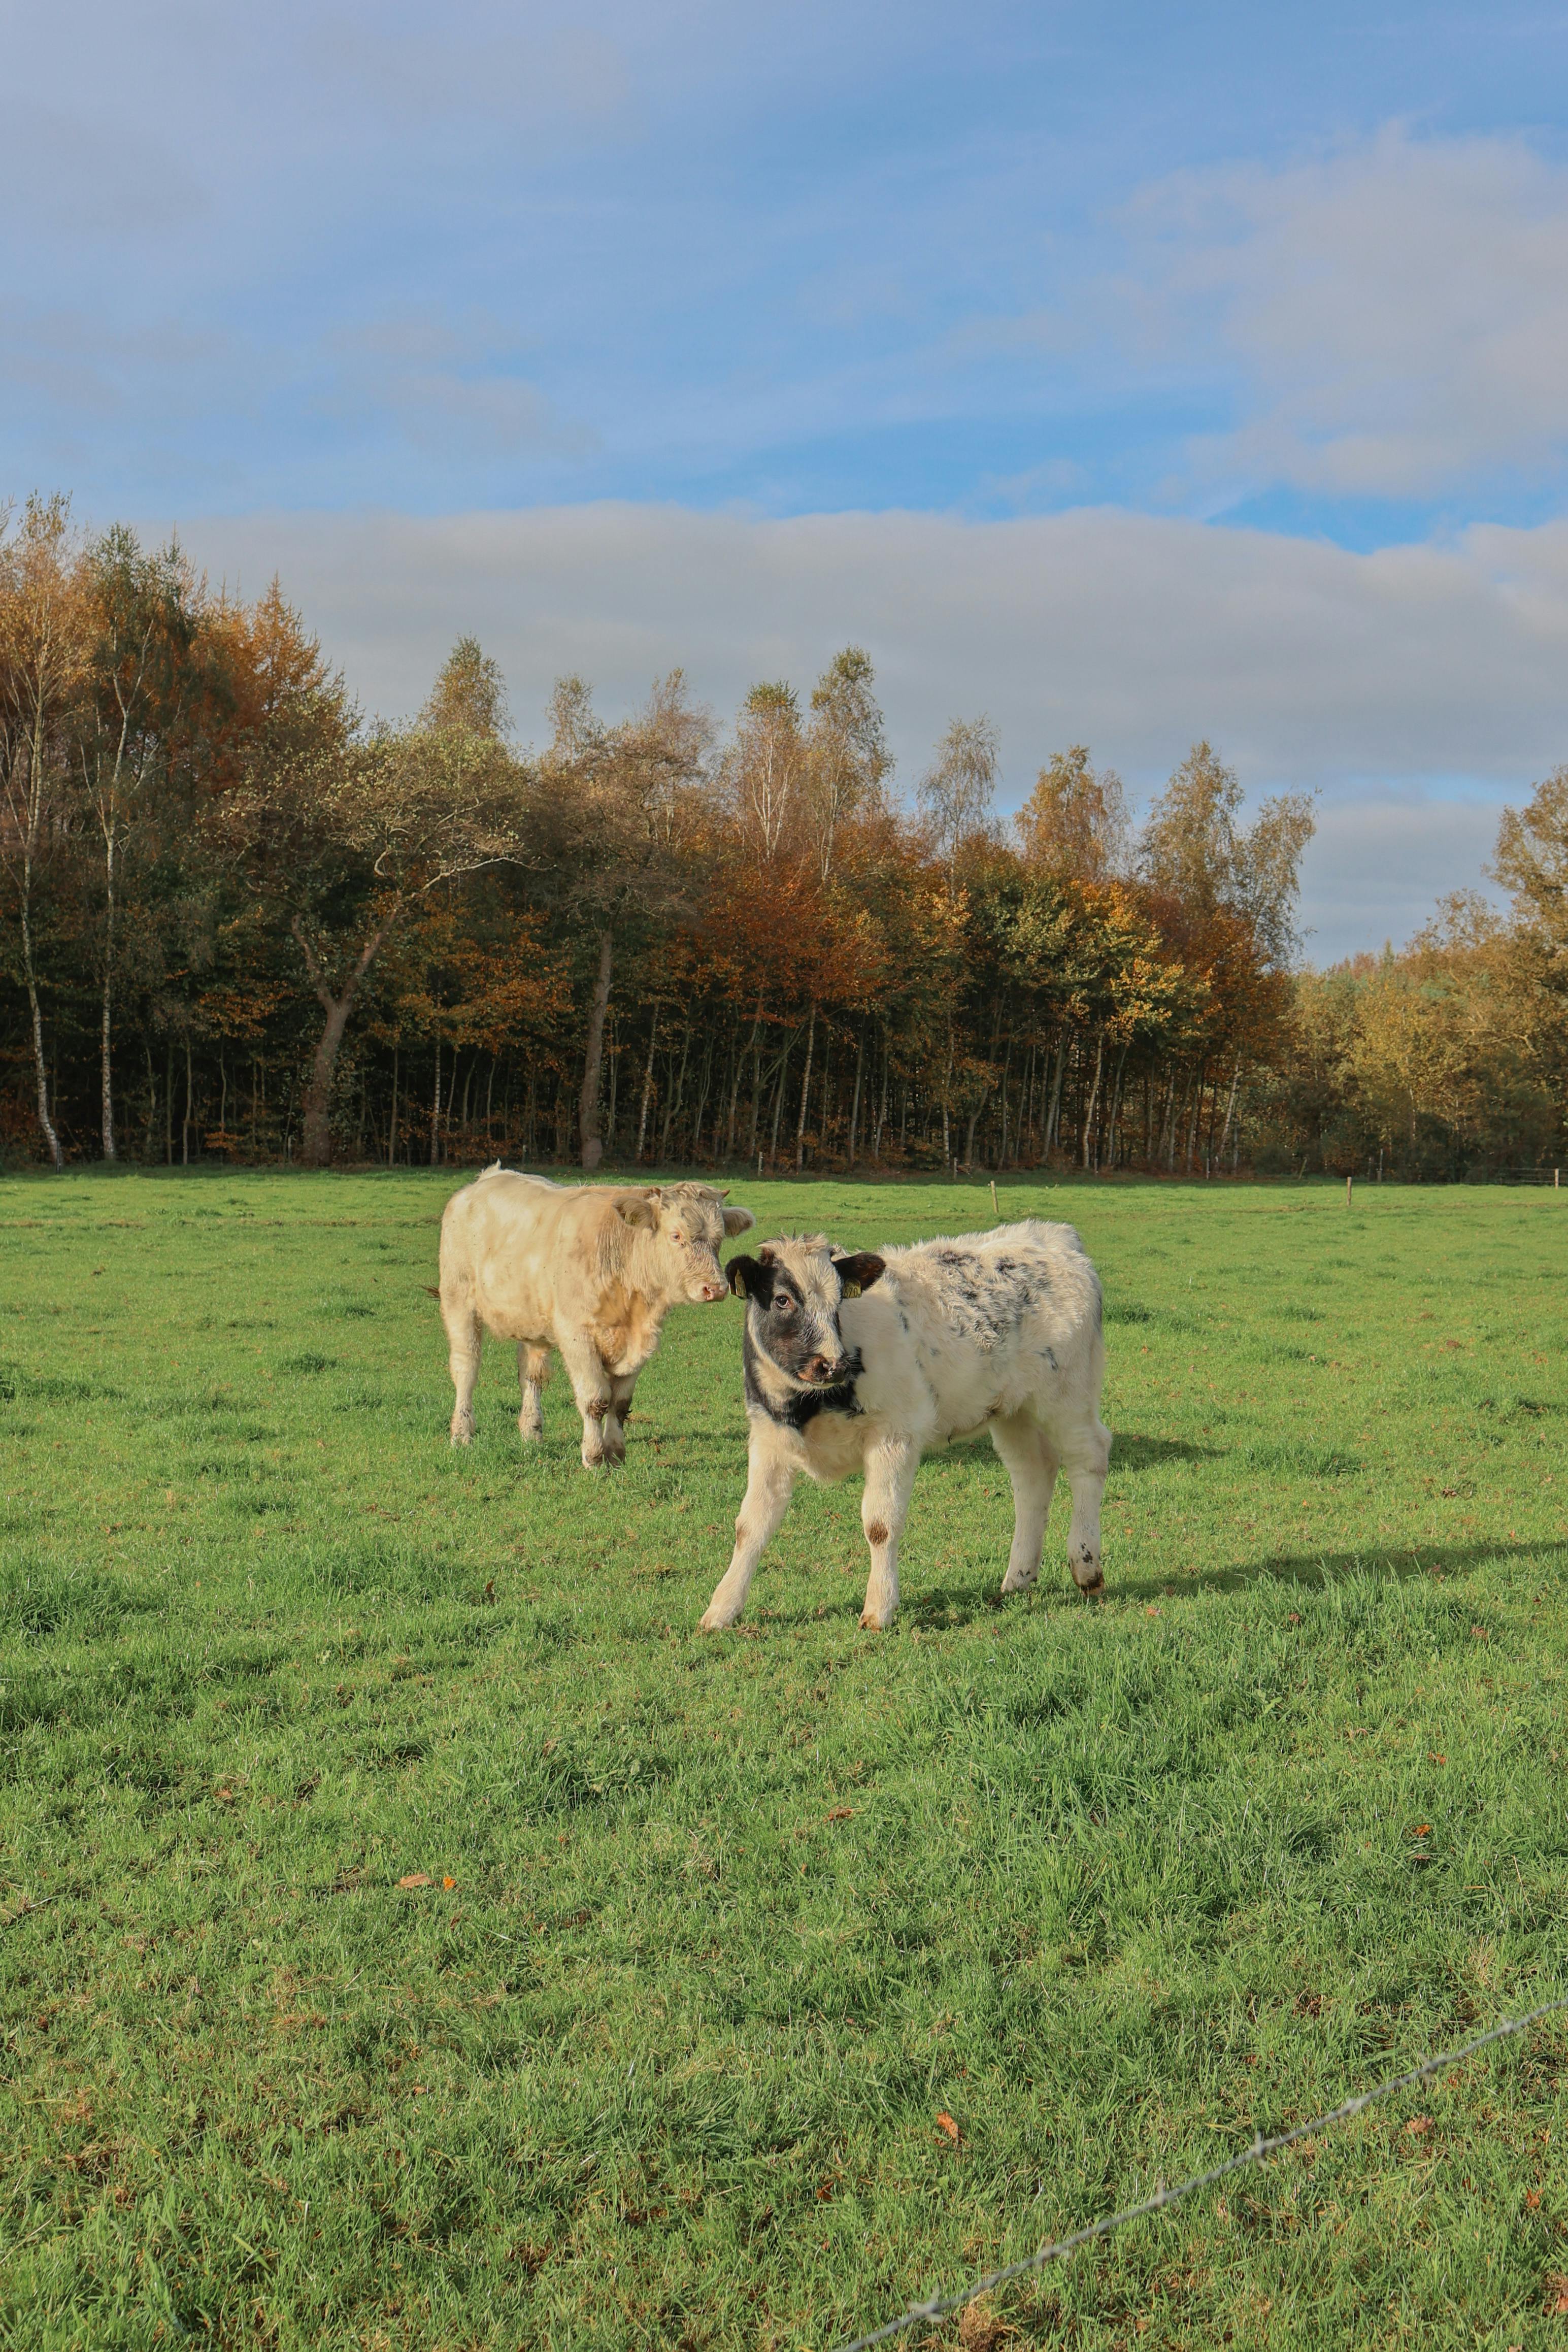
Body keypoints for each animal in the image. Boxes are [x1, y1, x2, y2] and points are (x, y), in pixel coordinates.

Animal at [438, 1166, 755, 1467]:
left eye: (719, 1239)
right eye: (676, 1236)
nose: (716, 1288)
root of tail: (488, 1177)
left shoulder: (641, 1341)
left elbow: (620, 1403)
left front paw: (615, 1455)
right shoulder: (576, 1335)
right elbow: (595, 1400)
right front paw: (593, 1457)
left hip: (530, 1319)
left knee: (531, 1374)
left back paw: (531, 1432)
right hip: (458, 1301)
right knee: (466, 1369)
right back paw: (462, 1435)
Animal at [700, 1221, 1110, 1632]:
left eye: (839, 1301)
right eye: (783, 1300)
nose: (831, 1365)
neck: (806, 1405)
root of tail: (1052, 1235)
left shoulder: (895, 1433)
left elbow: (880, 1524)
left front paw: (878, 1609)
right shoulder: (768, 1439)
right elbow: (750, 1525)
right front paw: (721, 1609)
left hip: (1068, 1395)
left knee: (1089, 1456)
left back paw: (1086, 1566)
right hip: (1014, 1410)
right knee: (1033, 1473)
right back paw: (1018, 1576)